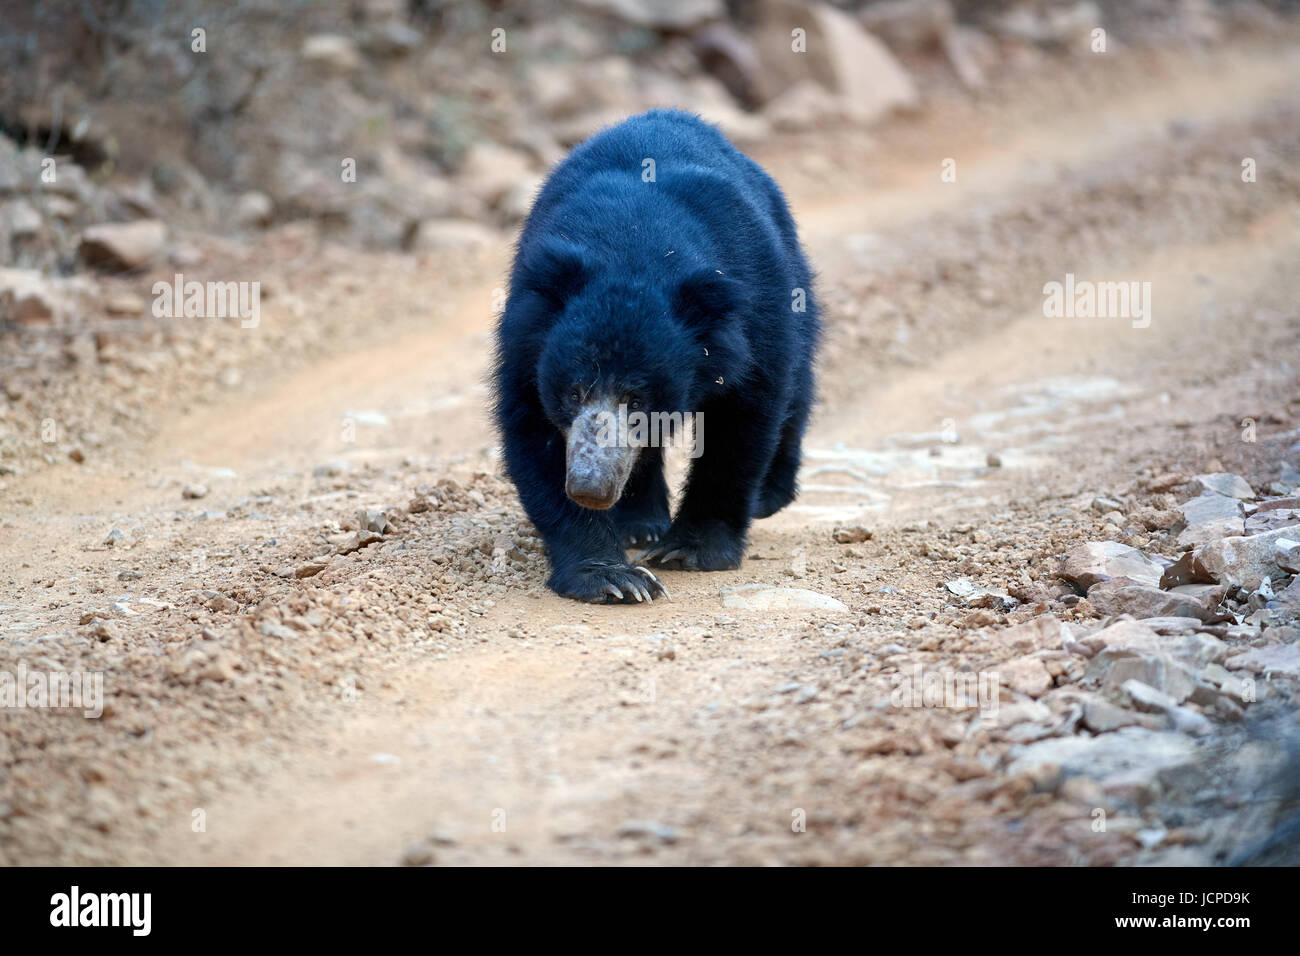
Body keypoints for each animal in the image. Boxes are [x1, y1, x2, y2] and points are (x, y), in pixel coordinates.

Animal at [493, 109, 819, 604]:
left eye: (637, 400)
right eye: (572, 394)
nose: (589, 487)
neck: (633, 246)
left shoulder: (755, 310)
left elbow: (744, 418)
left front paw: (689, 550)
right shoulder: (528, 333)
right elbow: (532, 428)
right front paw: (613, 577)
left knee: (798, 387)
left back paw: (769, 496)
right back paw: (639, 525)